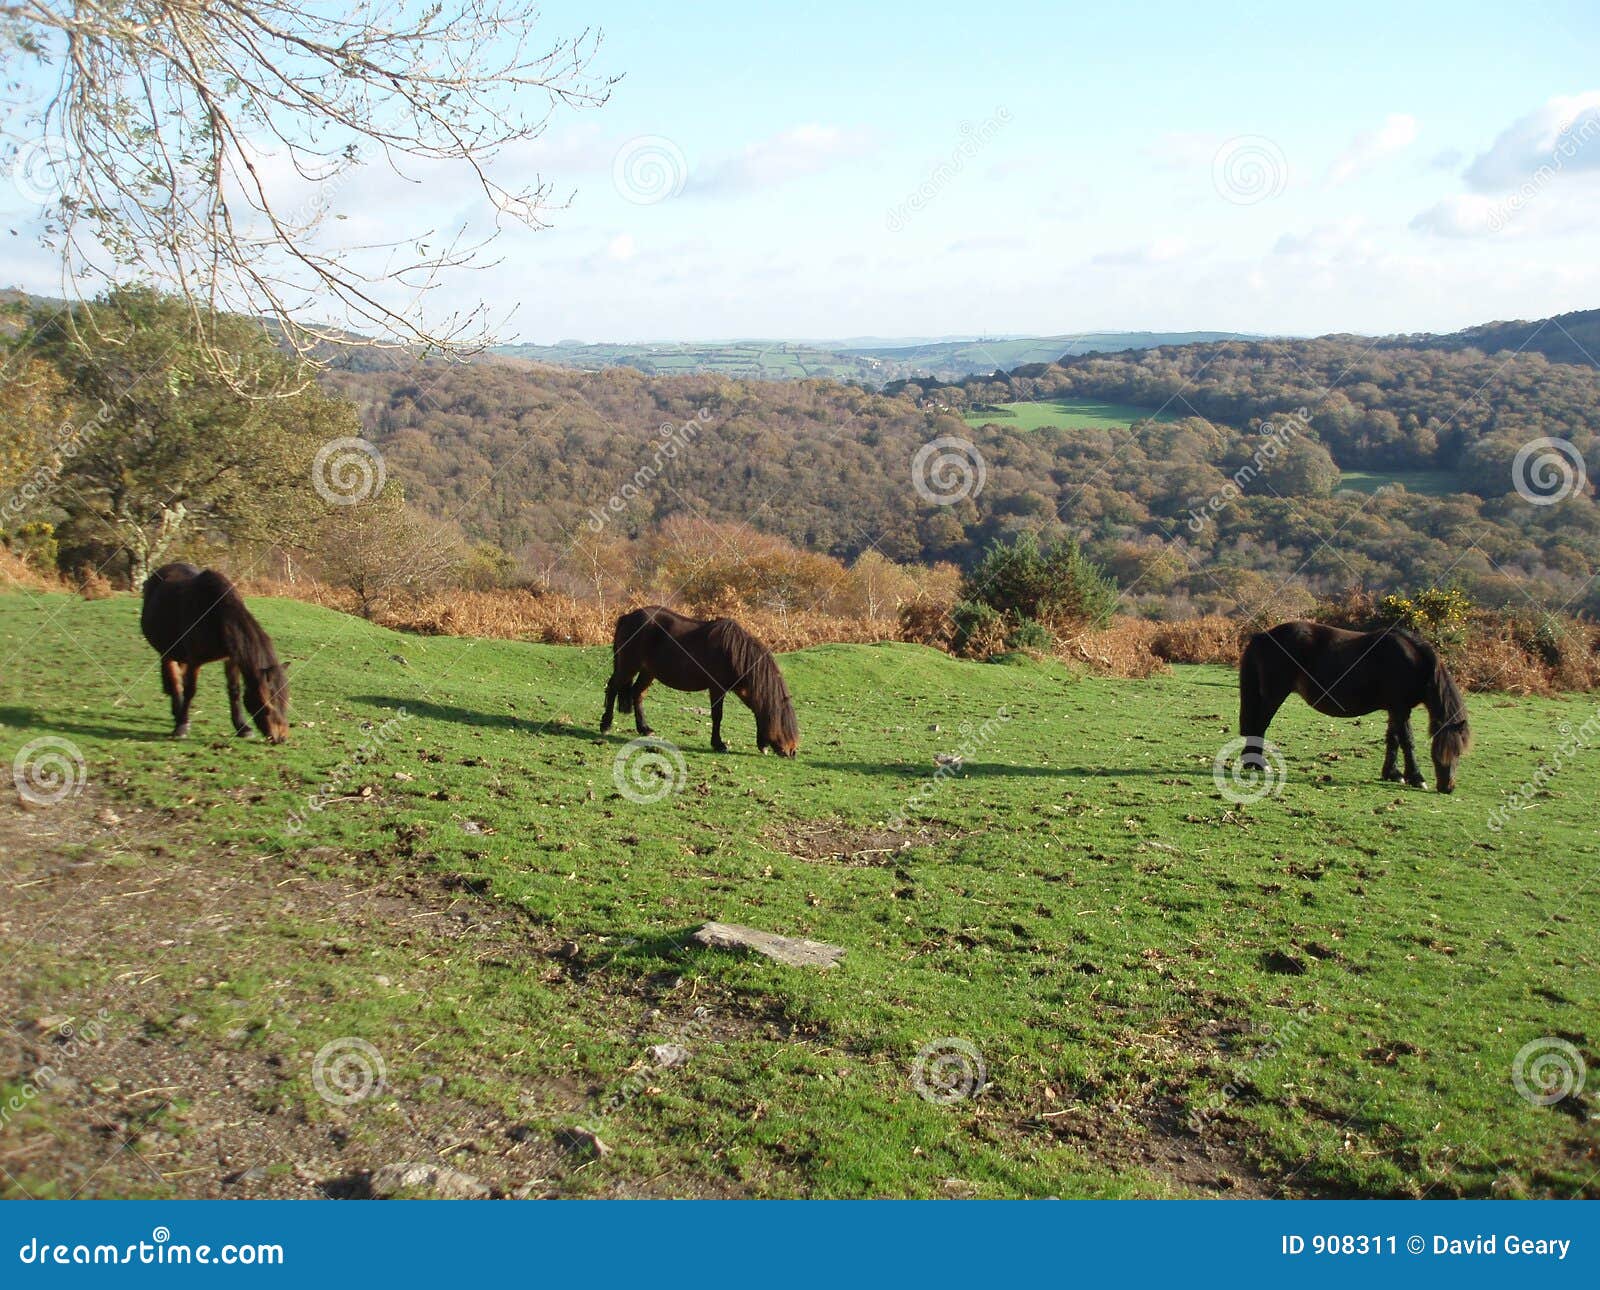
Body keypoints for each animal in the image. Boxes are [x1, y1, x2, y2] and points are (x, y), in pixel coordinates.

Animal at [140, 563, 290, 743]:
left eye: (285, 701)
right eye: (266, 704)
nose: (281, 737)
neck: (215, 616)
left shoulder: (231, 659)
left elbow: (234, 690)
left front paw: (242, 727)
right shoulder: (195, 660)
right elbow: (190, 690)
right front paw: (182, 726)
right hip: (167, 651)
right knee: (175, 682)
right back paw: (179, 715)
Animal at [600, 606, 799, 756]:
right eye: (785, 722)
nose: (792, 752)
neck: (734, 653)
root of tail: (627, 617)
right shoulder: (717, 688)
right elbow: (718, 715)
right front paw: (719, 744)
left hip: (647, 672)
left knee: (637, 694)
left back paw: (644, 728)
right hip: (628, 667)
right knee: (612, 688)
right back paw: (606, 725)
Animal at [1238, 620, 1470, 792]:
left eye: (1459, 752)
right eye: (1446, 751)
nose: (1447, 788)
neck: (1412, 661)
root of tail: (1262, 636)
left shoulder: (1395, 709)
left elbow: (1393, 739)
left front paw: (1392, 774)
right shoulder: (1401, 708)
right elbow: (1407, 741)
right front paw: (1416, 778)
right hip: (1273, 696)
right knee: (1259, 725)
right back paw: (1256, 764)